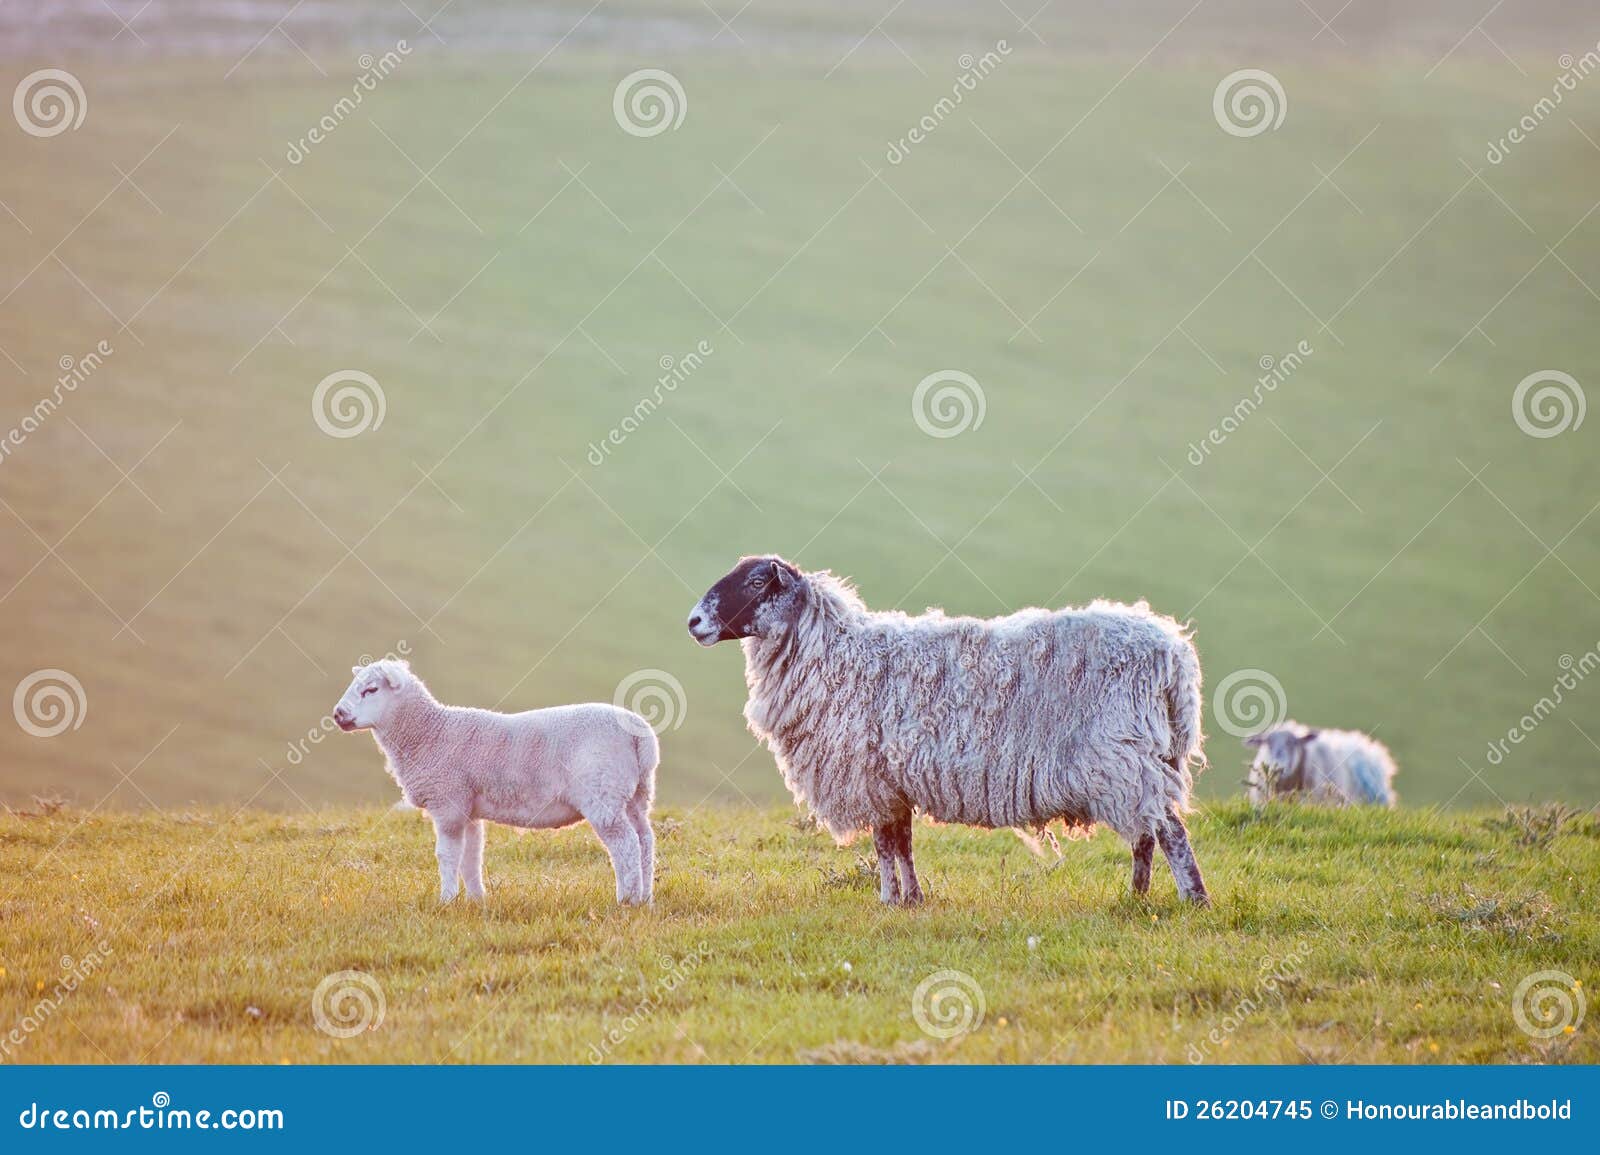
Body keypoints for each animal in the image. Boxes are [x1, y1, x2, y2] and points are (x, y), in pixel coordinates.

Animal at [332, 659, 658, 905]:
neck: (429, 732)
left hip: (603, 792)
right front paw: (476, 901)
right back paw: (645, 899)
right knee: (644, 840)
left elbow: (447, 856)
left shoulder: (448, 800)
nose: (338, 714)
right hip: (634, 793)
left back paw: (626, 900)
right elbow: (471, 858)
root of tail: (641, 734)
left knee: (626, 844)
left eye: (371, 689)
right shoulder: (468, 808)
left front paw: (446, 900)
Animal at [686, 556, 1211, 906]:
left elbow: (884, 845)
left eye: (757, 581)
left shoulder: (870, 777)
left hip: (1120, 756)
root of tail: (1174, 654)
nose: (694, 621)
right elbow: (902, 843)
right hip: (1141, 759)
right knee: (1147, 832)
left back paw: (1192, 900)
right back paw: (1136, 899)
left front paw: (887, 901)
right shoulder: (892, 779)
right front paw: (912, 900)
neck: (834, 655)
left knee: (1169, 832)